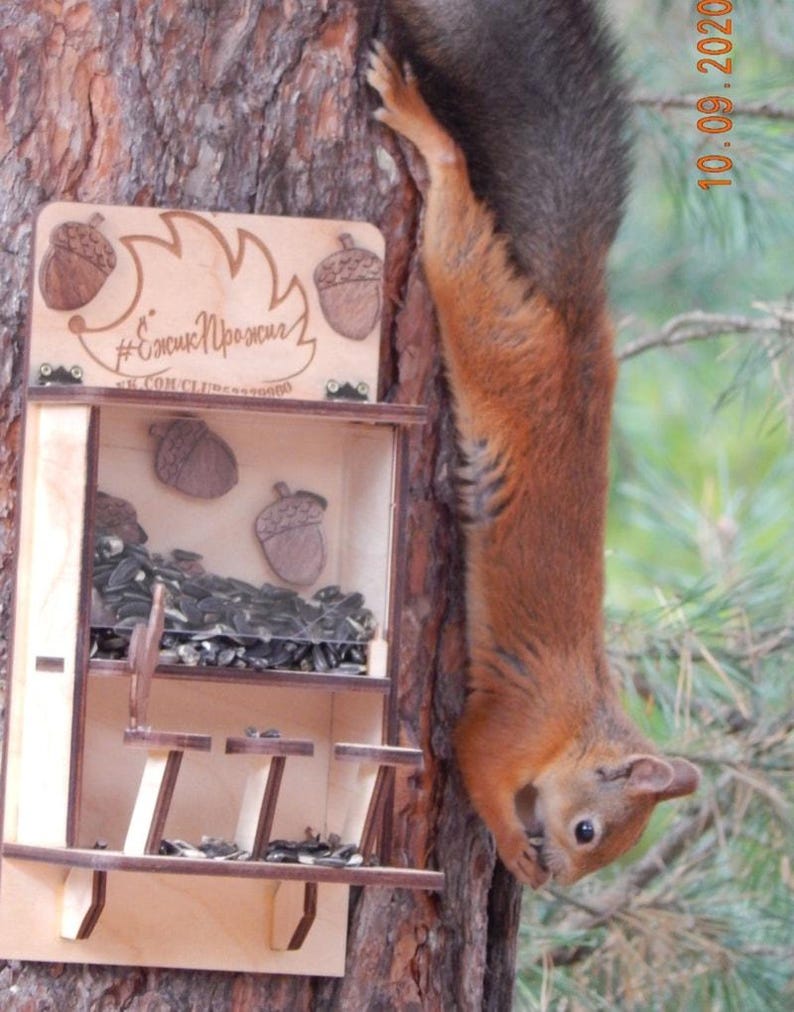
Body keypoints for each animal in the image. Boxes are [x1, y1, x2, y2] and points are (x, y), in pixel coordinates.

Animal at [368, 0, 700, 889]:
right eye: (589, 831)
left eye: (609, 850)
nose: (554, 876)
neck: (577, 723)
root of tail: (578, 333)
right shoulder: (510, 722)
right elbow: (473, 757)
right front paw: (511, 844)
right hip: (492, 336)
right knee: (457, 233)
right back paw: (423, 127)